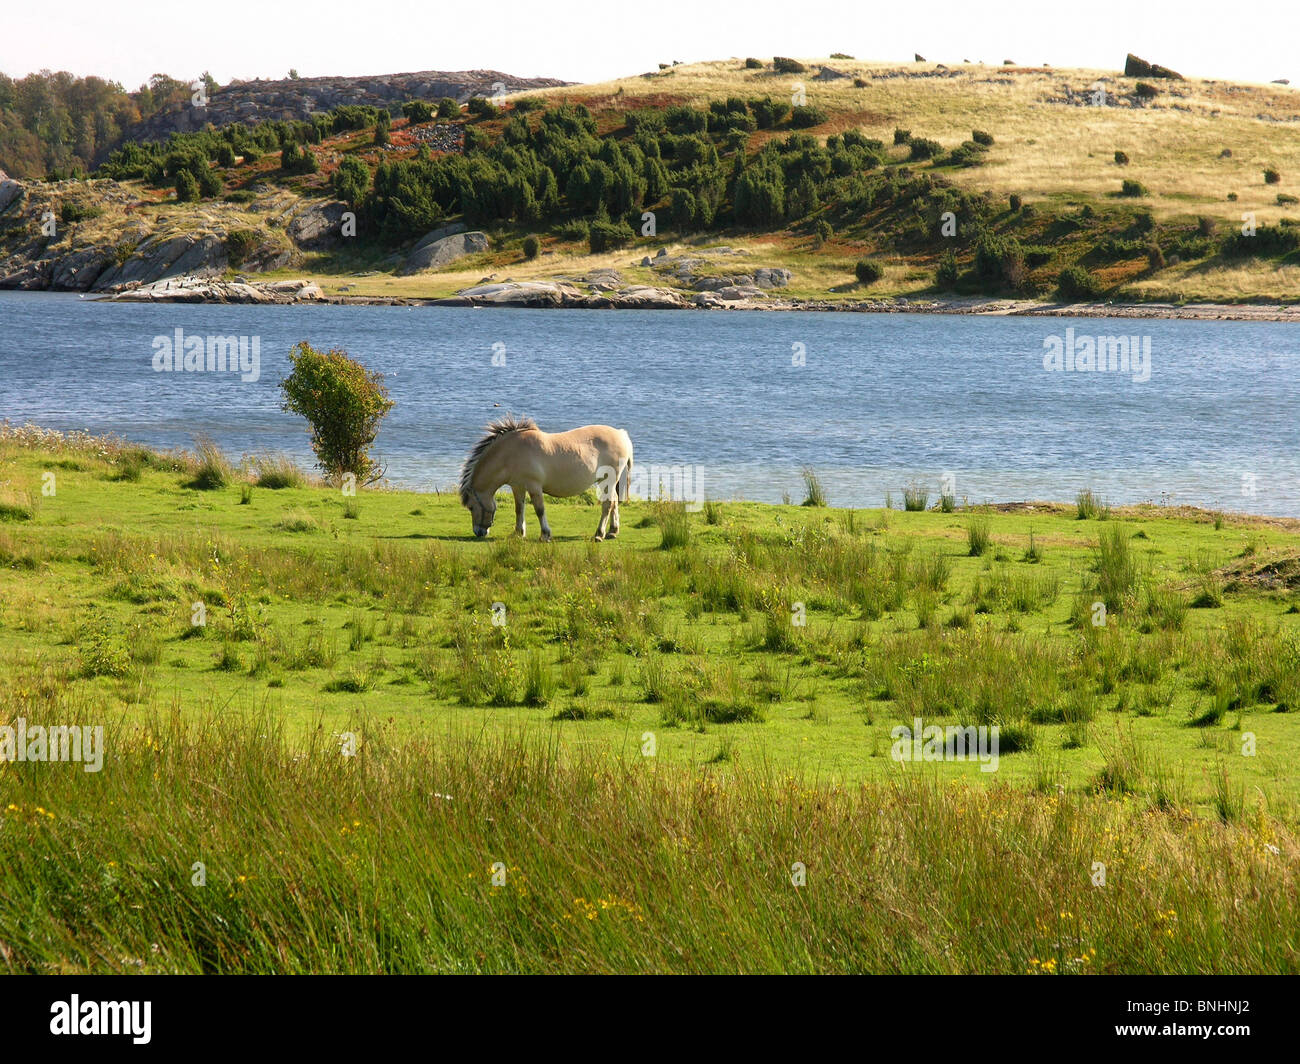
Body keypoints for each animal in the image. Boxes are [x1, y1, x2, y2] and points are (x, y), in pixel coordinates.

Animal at [459, 417, 634, 542]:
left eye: (471, 507)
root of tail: (621, 434)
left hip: (607, 480)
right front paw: (518, 533)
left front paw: (545, 535)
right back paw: (612, 531)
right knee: (614, 502)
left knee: (608, 504)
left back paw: (599, 534)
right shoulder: (517, 486)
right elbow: (519, 509)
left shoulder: (534, 486)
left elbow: (539, 510)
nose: (479, 532)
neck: (511, 453)